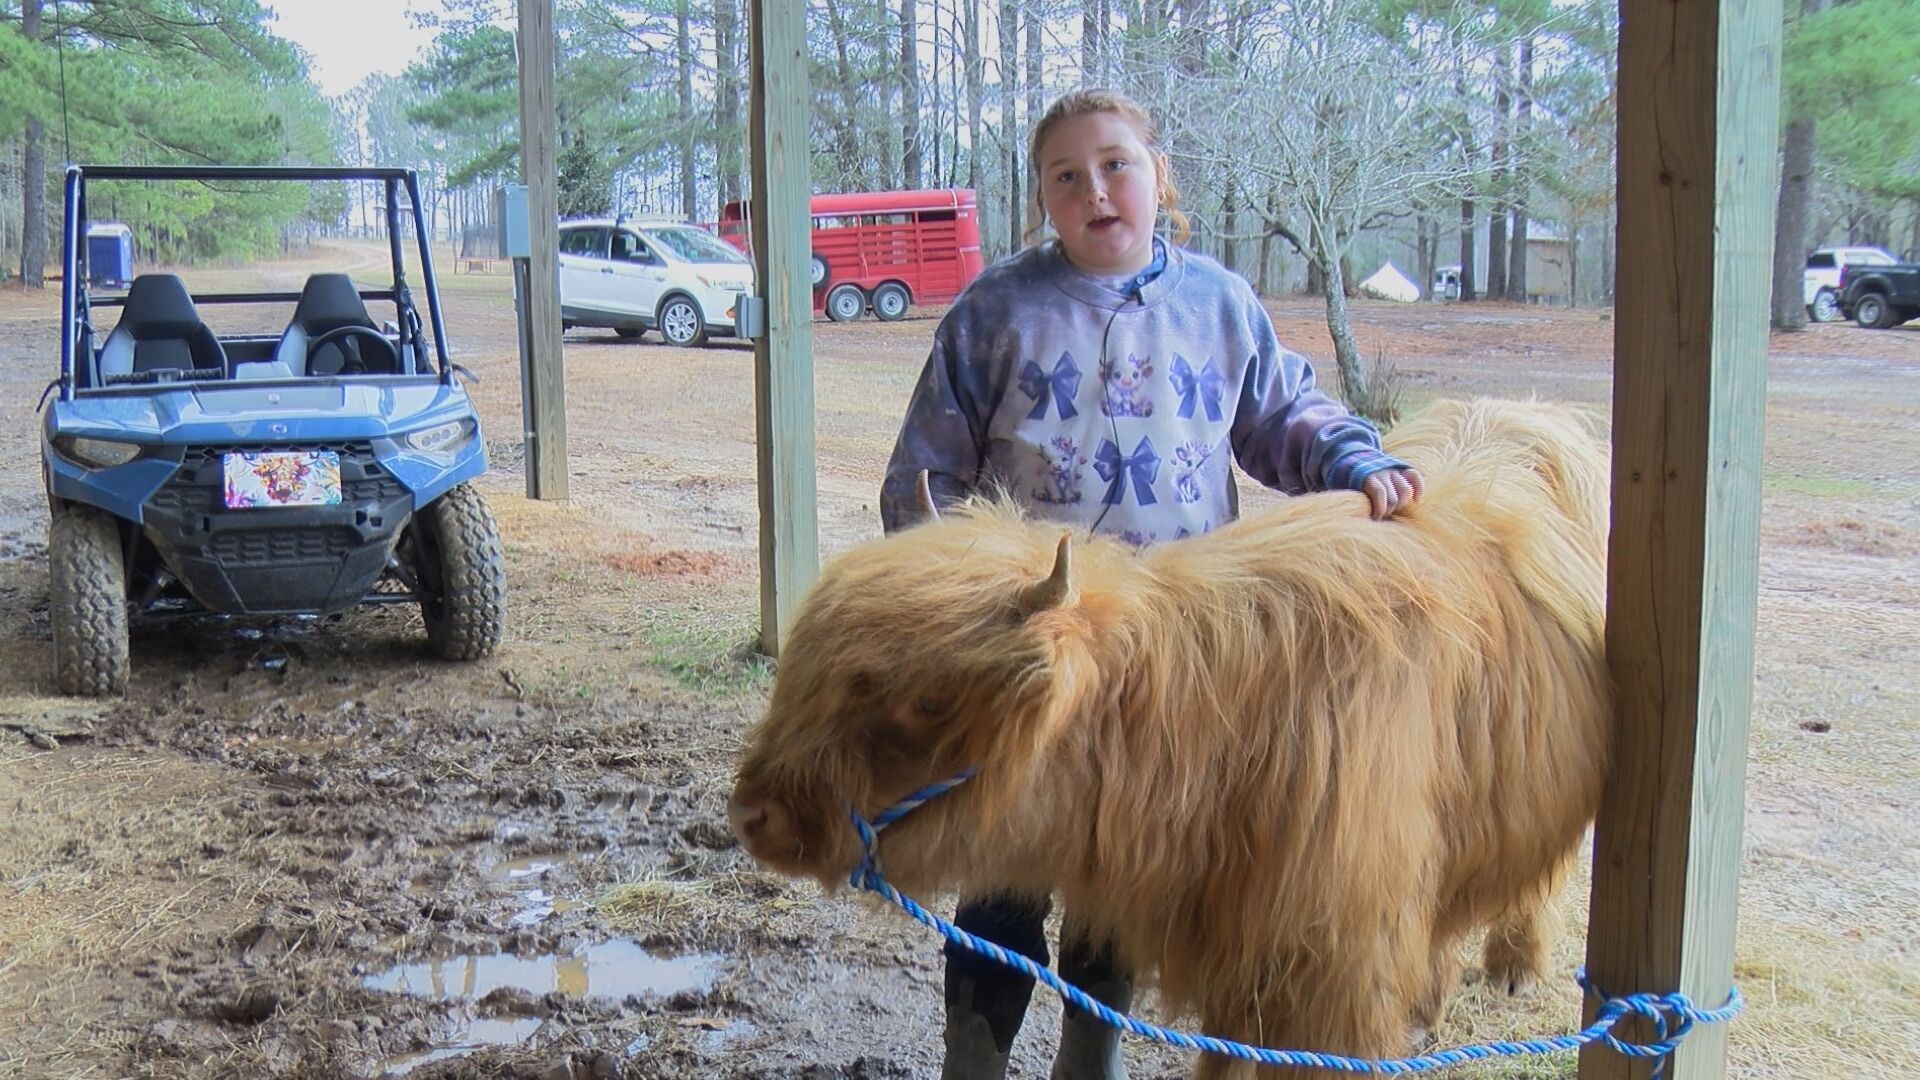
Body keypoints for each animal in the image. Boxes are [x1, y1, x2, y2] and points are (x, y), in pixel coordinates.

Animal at [728, 398, 1613, 1078]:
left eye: (929, 701)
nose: (754, 816)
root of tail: (1527, 409)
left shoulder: (1333, 977)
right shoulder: (1244, 959)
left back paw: (1514, 967)